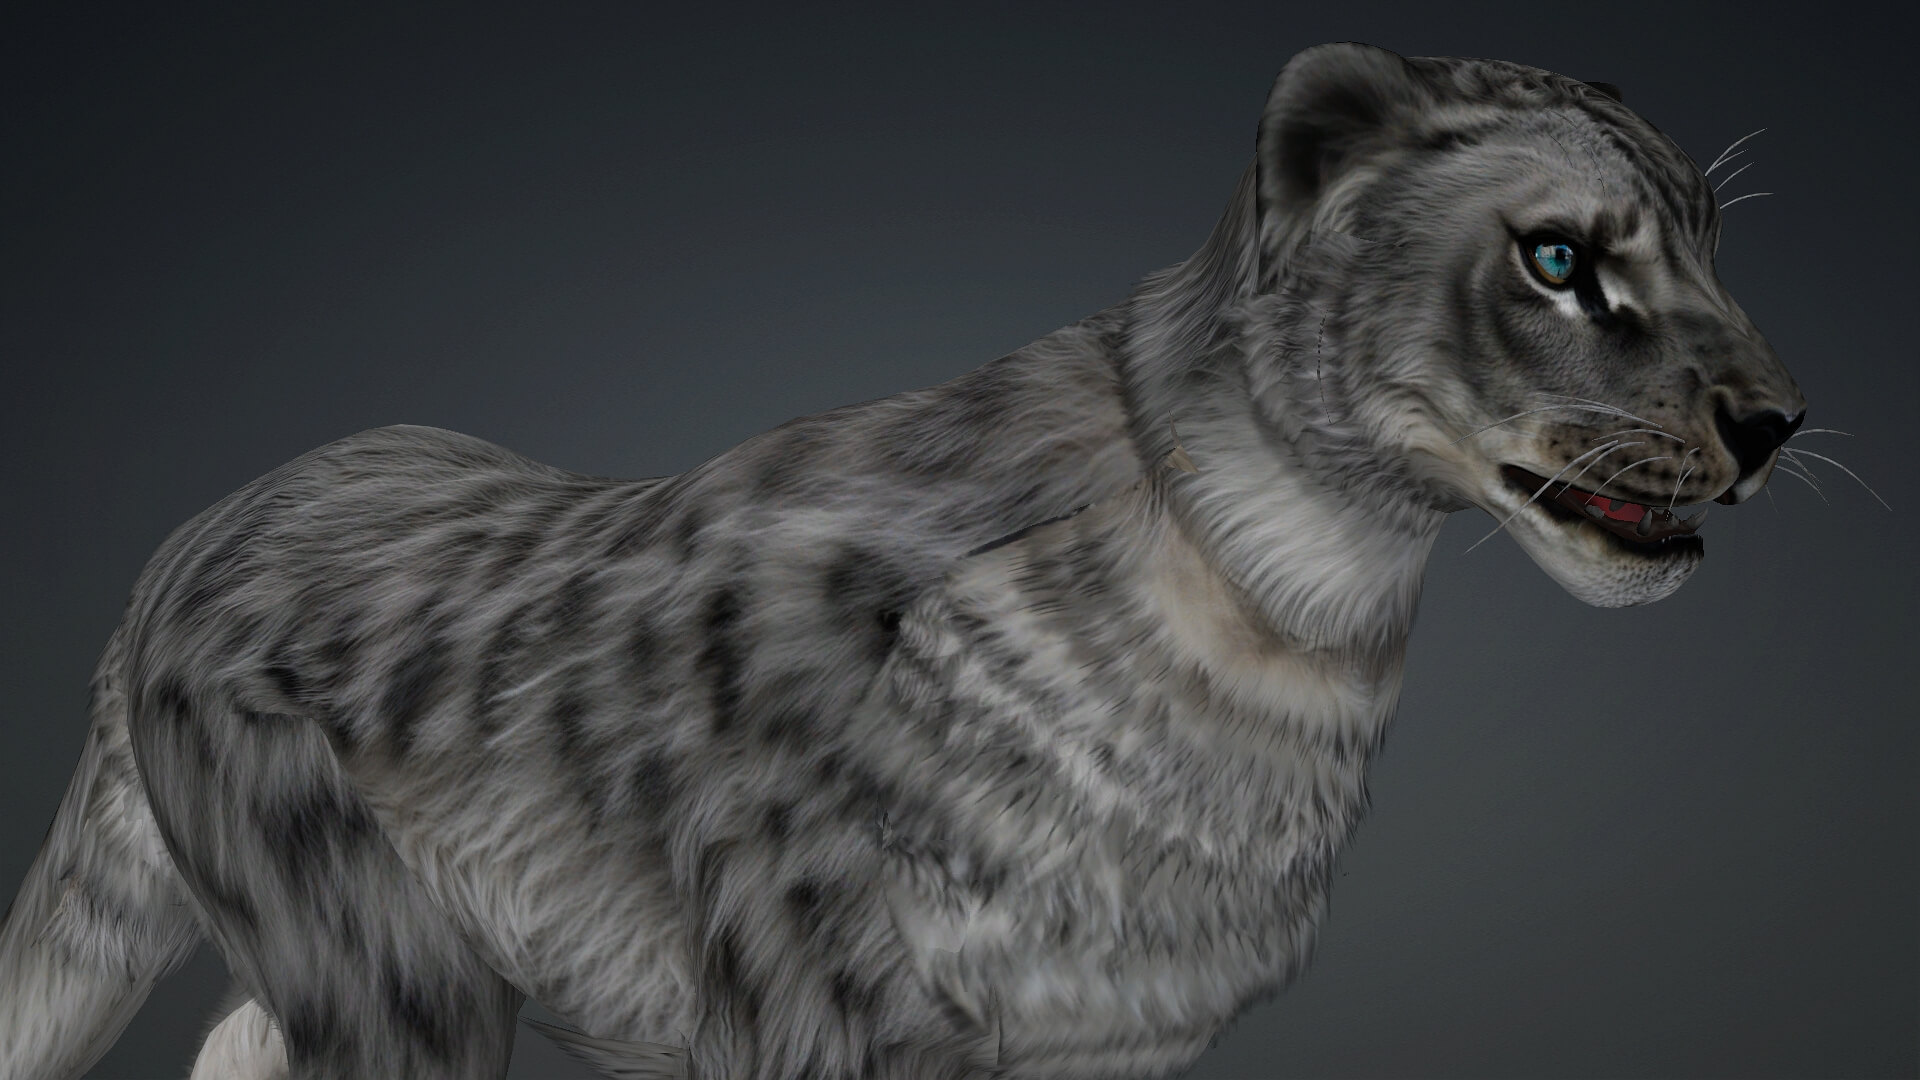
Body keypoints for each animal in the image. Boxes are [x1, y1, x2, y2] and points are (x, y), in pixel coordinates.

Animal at [0, 41, 1803, 1080]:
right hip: (401, 994)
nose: (1776, 419)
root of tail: (217, 517)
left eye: (1714, 241)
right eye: (1560, 258)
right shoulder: (825, 1031)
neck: (1299, 639)